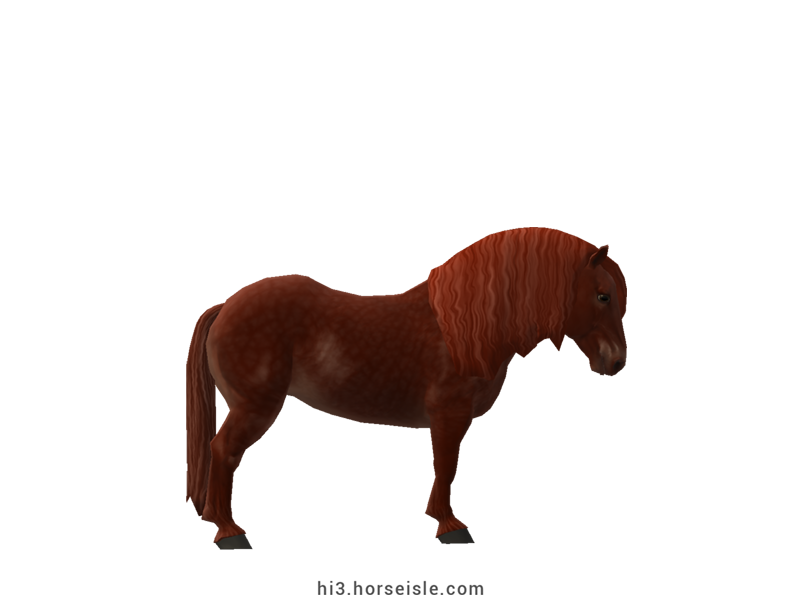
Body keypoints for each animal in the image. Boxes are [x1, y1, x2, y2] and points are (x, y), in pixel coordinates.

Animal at [187, 228, 627, 541]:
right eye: (603, 295)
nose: (617, 361)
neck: (461, 330)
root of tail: (226, 305)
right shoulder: (449, 413)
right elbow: (447, 464)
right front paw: (448, 523)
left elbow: (444, 465)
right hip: (252, 406)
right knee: (222, 450)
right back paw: (228, 528)